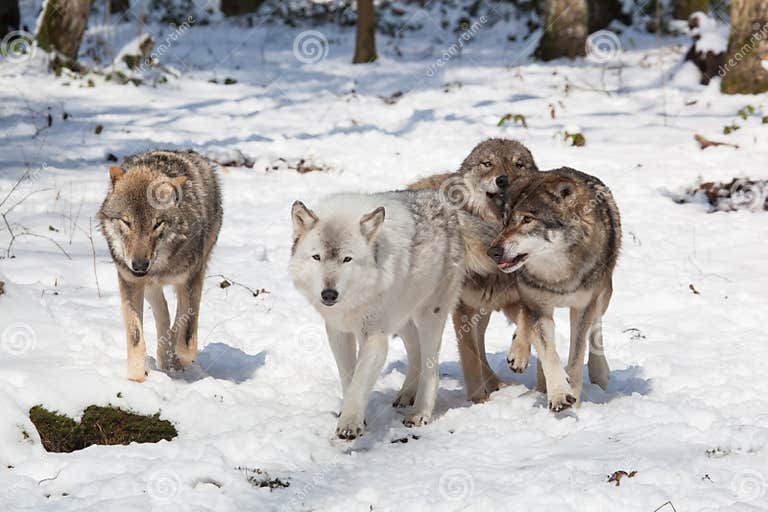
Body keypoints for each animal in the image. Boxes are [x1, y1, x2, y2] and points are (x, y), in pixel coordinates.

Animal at [97, 150, 222, 382]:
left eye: (157, 224)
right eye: (127, 222)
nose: (139, 265)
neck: (160, 266)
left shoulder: (192, 278)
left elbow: (187, 338)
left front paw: (179, 359)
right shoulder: (129, 281)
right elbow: (136, 338)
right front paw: (137, 379)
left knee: (175, 319)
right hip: (148, 287)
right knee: (163, 312)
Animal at [290, 190, 495, 439]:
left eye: (347, 259)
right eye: (317, 257)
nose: (329, 294)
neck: (353, 303)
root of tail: (448, 205)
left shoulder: (374, 337)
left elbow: (359, 381)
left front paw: (349, 425)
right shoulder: (338, 332)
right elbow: (349, 378)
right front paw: (355, 417)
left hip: (429, 315)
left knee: (431, 366)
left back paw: (420, 412)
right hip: (400, 318)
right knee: (415, 349)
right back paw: (407, 394)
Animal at [408, 138, 539, 402]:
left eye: (518, 164)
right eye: (487, 163)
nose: (503, 180)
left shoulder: (514, 298)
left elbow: (524, 322)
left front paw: (519, 355)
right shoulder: (462, 310)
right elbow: (470, 359)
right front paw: (478, 401)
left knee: (481, 342)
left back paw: (496, 383)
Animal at [486, 167, 621, 411]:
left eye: (527, 219)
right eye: (505, 220)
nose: (493, 252)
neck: (557, 275)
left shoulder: (582, 307)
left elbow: (577, 357)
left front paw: (574, 399)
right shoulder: (538, 307)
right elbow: (548, 353)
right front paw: (559, 393)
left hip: (604, 292)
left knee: (596, 327)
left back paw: (599, 371)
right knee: (526, 321)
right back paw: (520, 354)